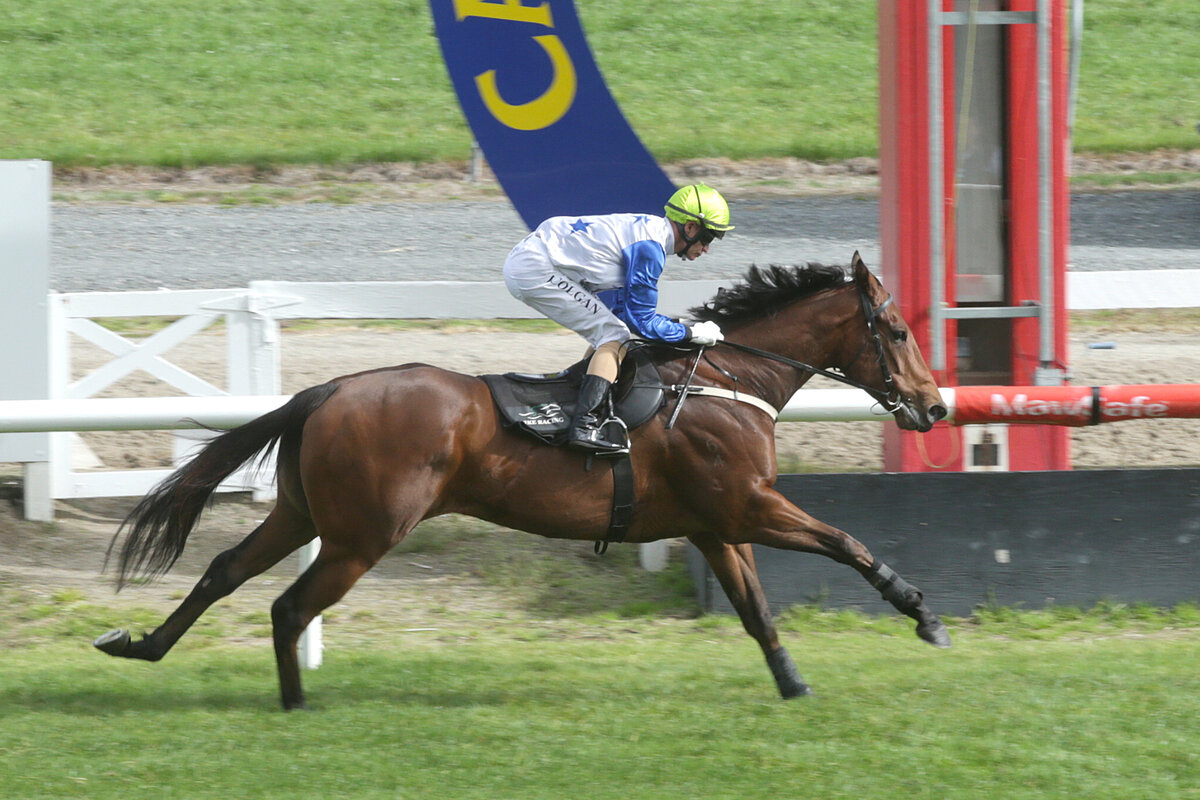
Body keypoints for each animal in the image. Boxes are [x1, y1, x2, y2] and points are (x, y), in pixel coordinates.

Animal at [94, 252, 951, 710]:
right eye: (896, 330)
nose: (936, 406)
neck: (724, 383)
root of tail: (327, 391)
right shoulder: (748, 505)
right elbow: (846, 542)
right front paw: (923, 616)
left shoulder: (715, 525)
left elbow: (757, 612)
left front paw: (794, 685)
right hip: (362, 535)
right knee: (288, 605)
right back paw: (297, 702)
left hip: (307, 516)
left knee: (224, 570)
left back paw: (140, 646)